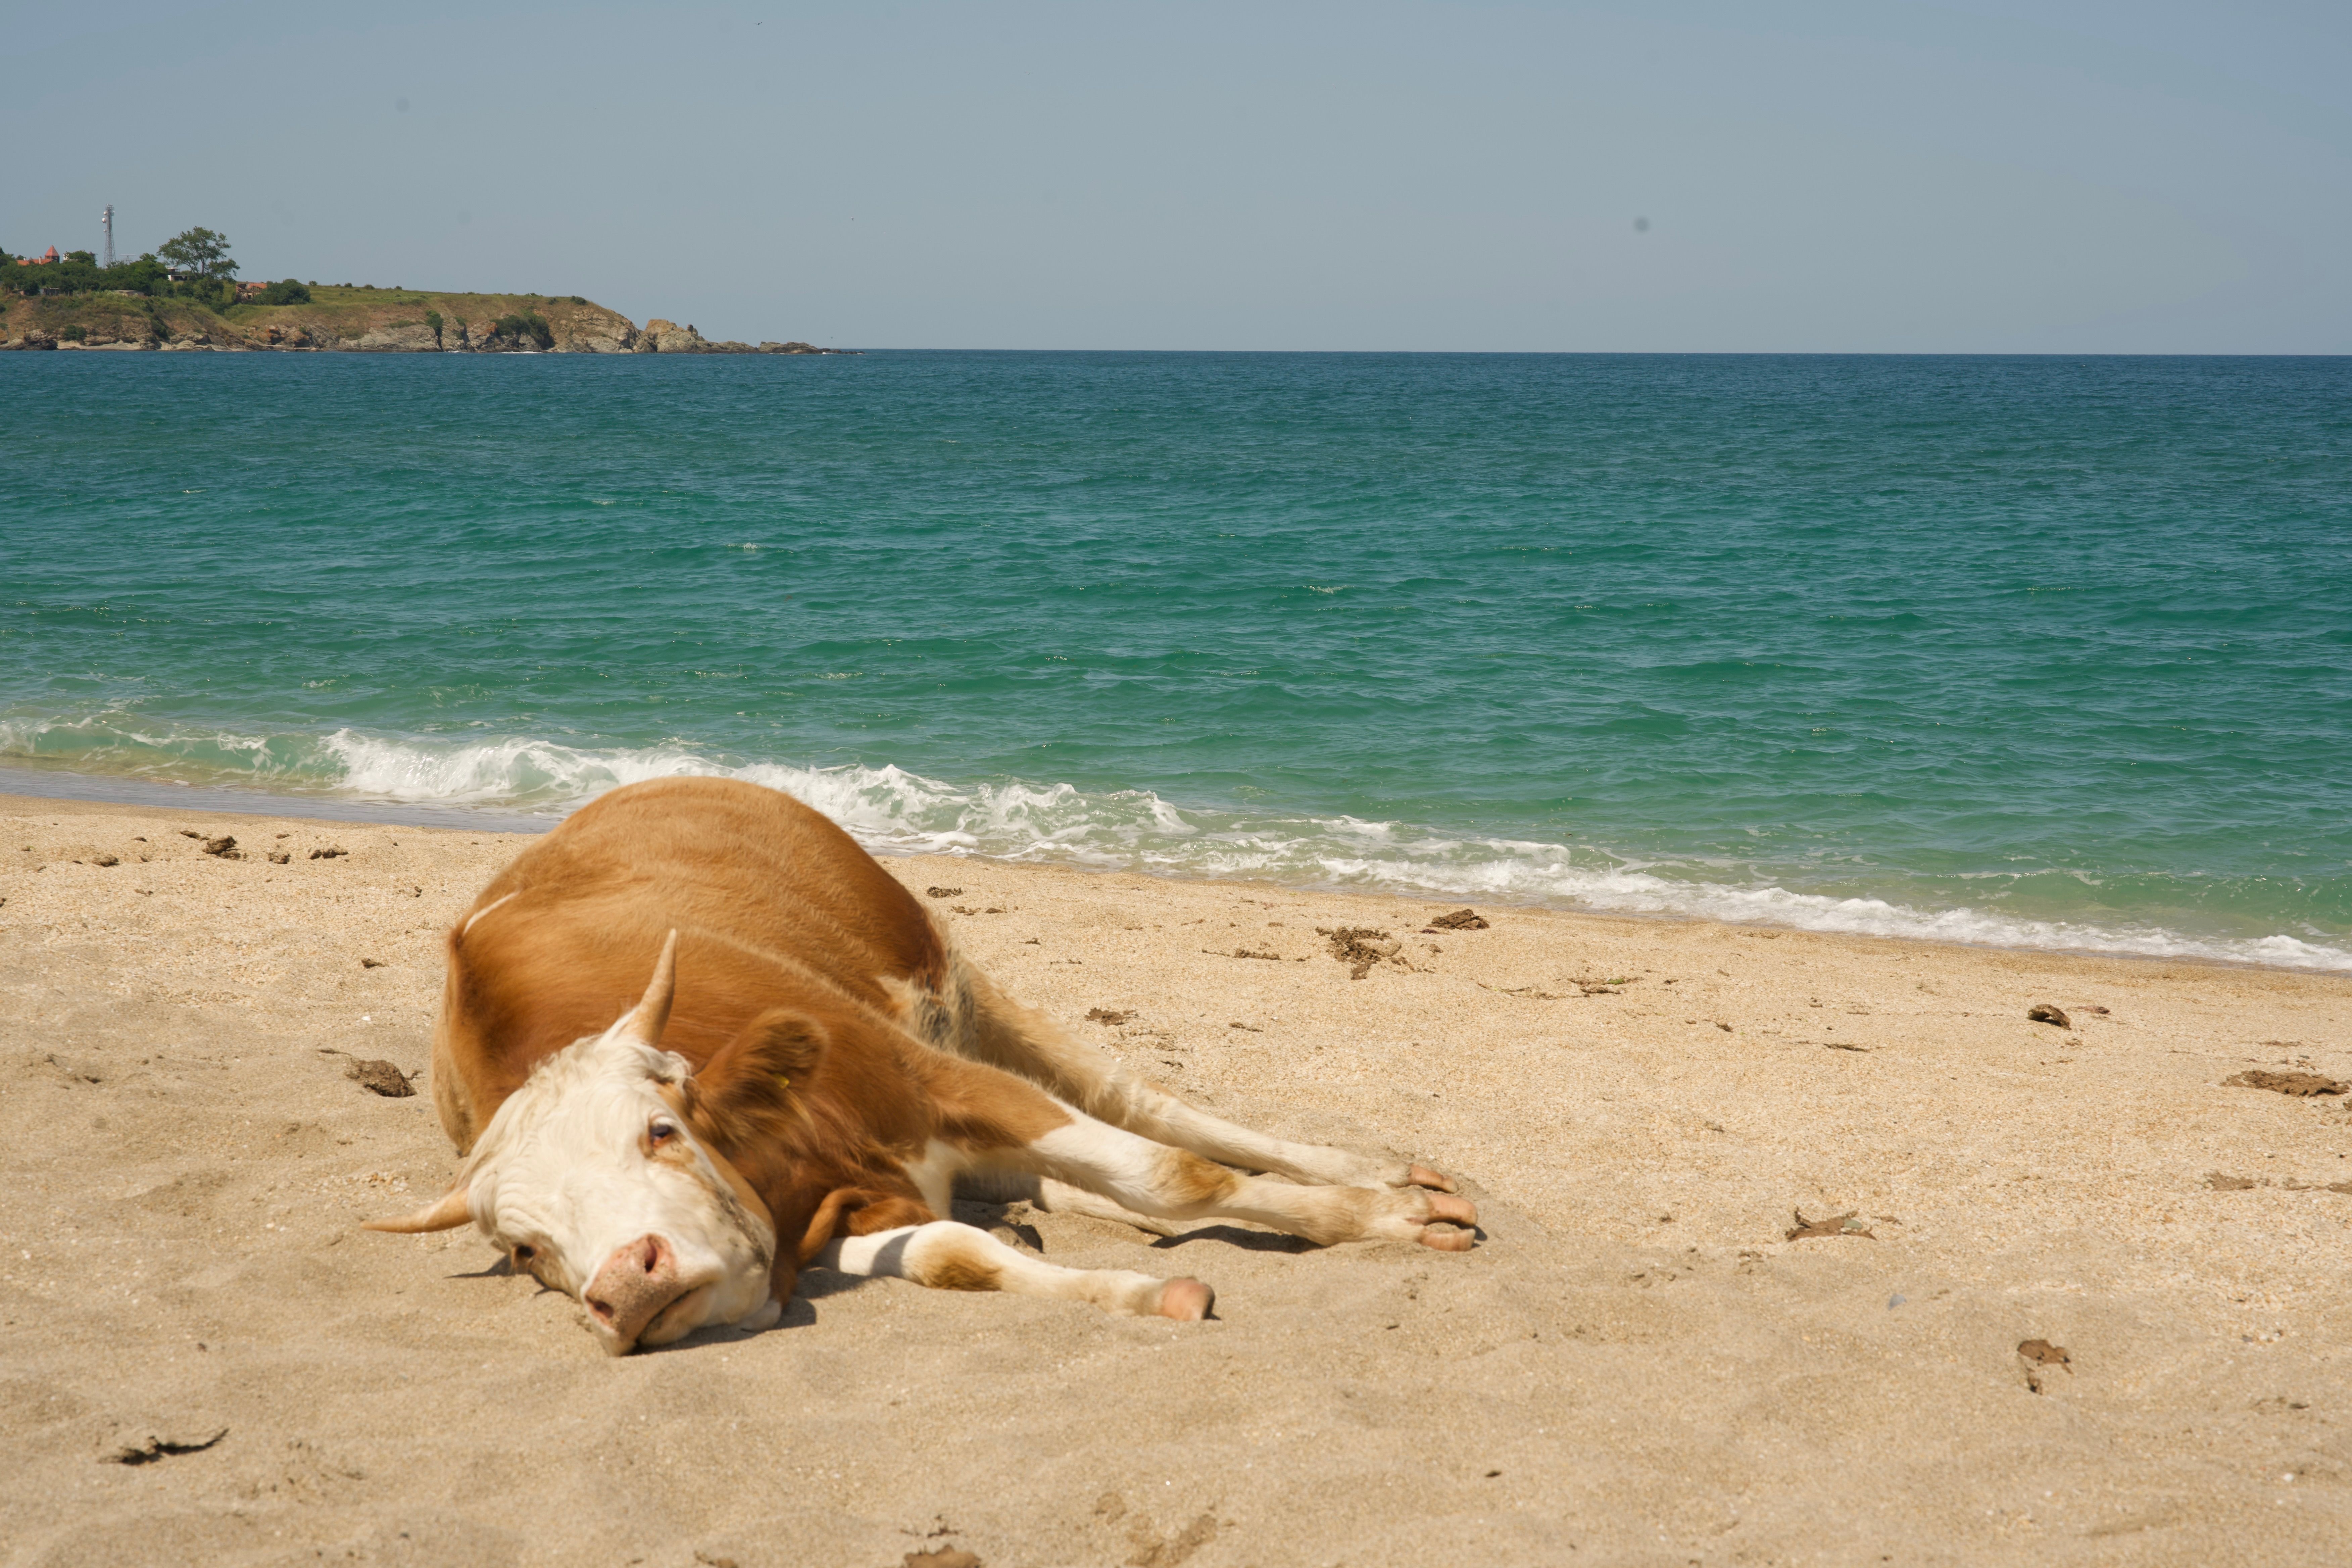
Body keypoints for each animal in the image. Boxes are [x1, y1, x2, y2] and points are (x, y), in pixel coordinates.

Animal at [366, 777, 1477, 1354]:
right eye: (525, 1250)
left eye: (661, 1130)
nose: (626, 1291)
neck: (816, 1163)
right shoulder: (836, 1215)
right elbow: (953, 1255)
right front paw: (1137, 1294)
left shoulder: (939, 1078)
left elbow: (1172, 1172)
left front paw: (1376, 1219)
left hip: (967, 993)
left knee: (1147, 1106)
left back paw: (1376, 1176)